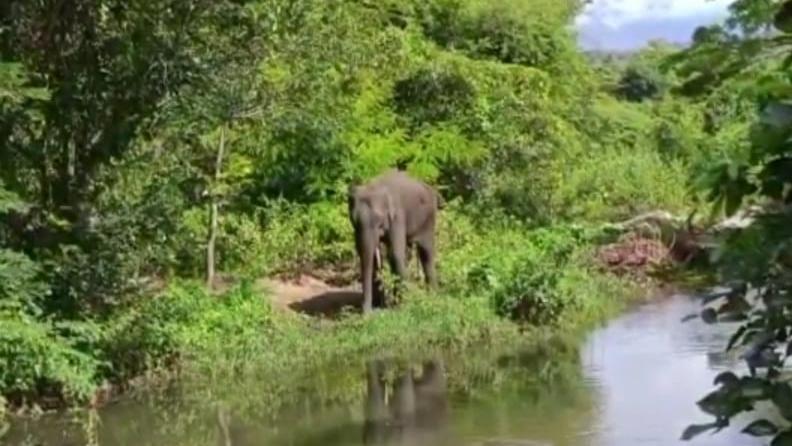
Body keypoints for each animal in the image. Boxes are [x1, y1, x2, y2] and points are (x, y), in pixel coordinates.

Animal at [347, 169, 443, 314]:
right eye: (354, 221)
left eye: (379, 222)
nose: (366, 314)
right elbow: (369, 257)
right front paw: (381, 306)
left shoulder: (398, 216)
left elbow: (395, 255)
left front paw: (402, 307)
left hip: (428, 218)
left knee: (426, 253)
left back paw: (433, 296)